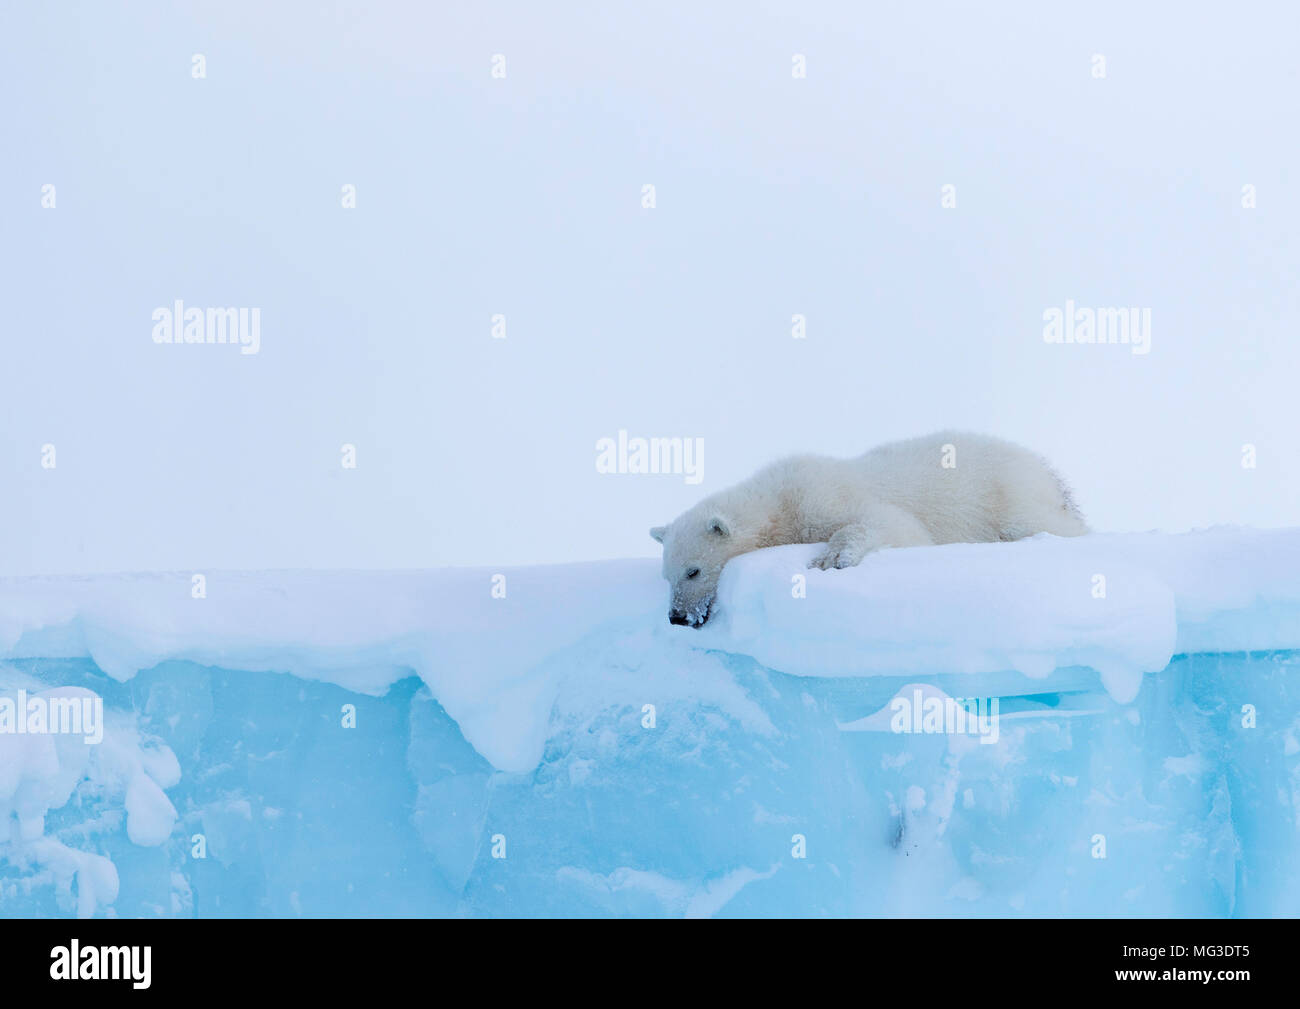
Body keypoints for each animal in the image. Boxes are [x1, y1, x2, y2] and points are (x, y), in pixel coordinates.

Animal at [649, 430, 1088, 627]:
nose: (676, 617)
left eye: (694, 571)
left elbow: (896, 526)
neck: (777, 503)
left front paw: (832, 557)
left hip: (1006, 491)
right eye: (667, 576)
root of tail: (1049, 472)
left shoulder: (823, 496)